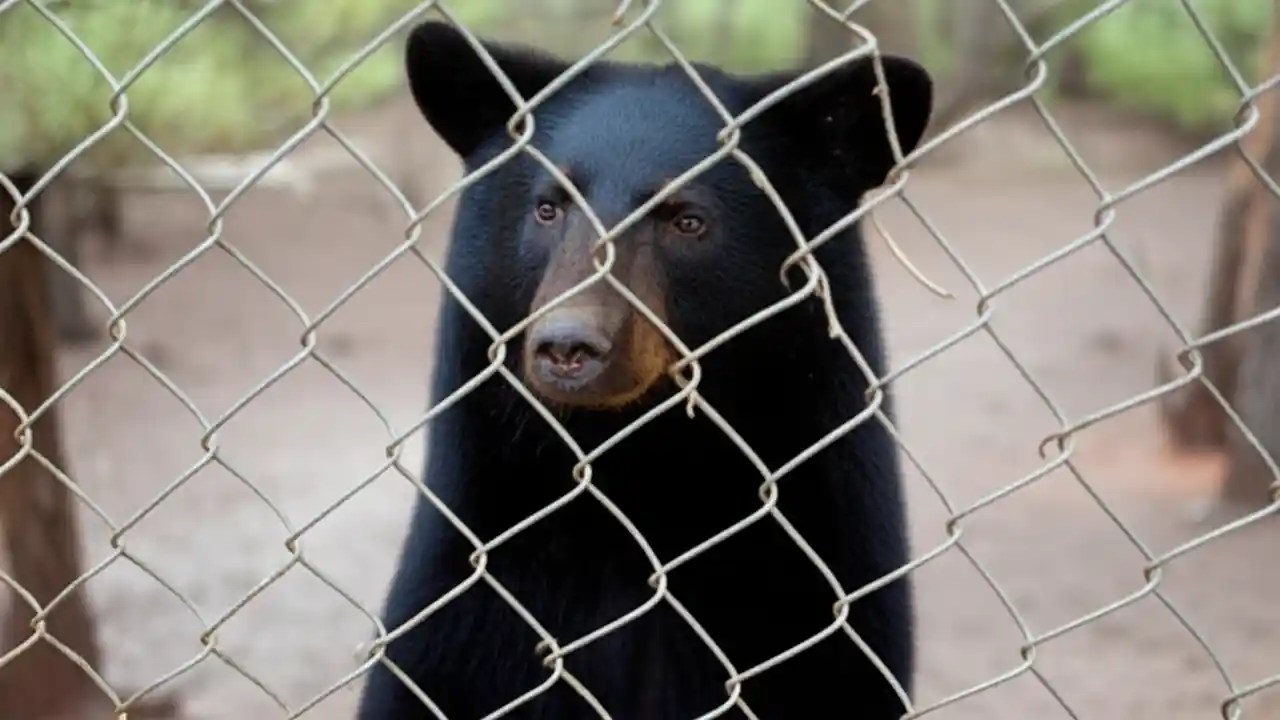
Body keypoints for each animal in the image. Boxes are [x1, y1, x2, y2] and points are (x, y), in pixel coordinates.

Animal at [357, 19, 932, 720]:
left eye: (688, 220)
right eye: (549, 207)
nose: (568, 346)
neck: (644, 471)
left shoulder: (821, 609)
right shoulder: (468, 607)